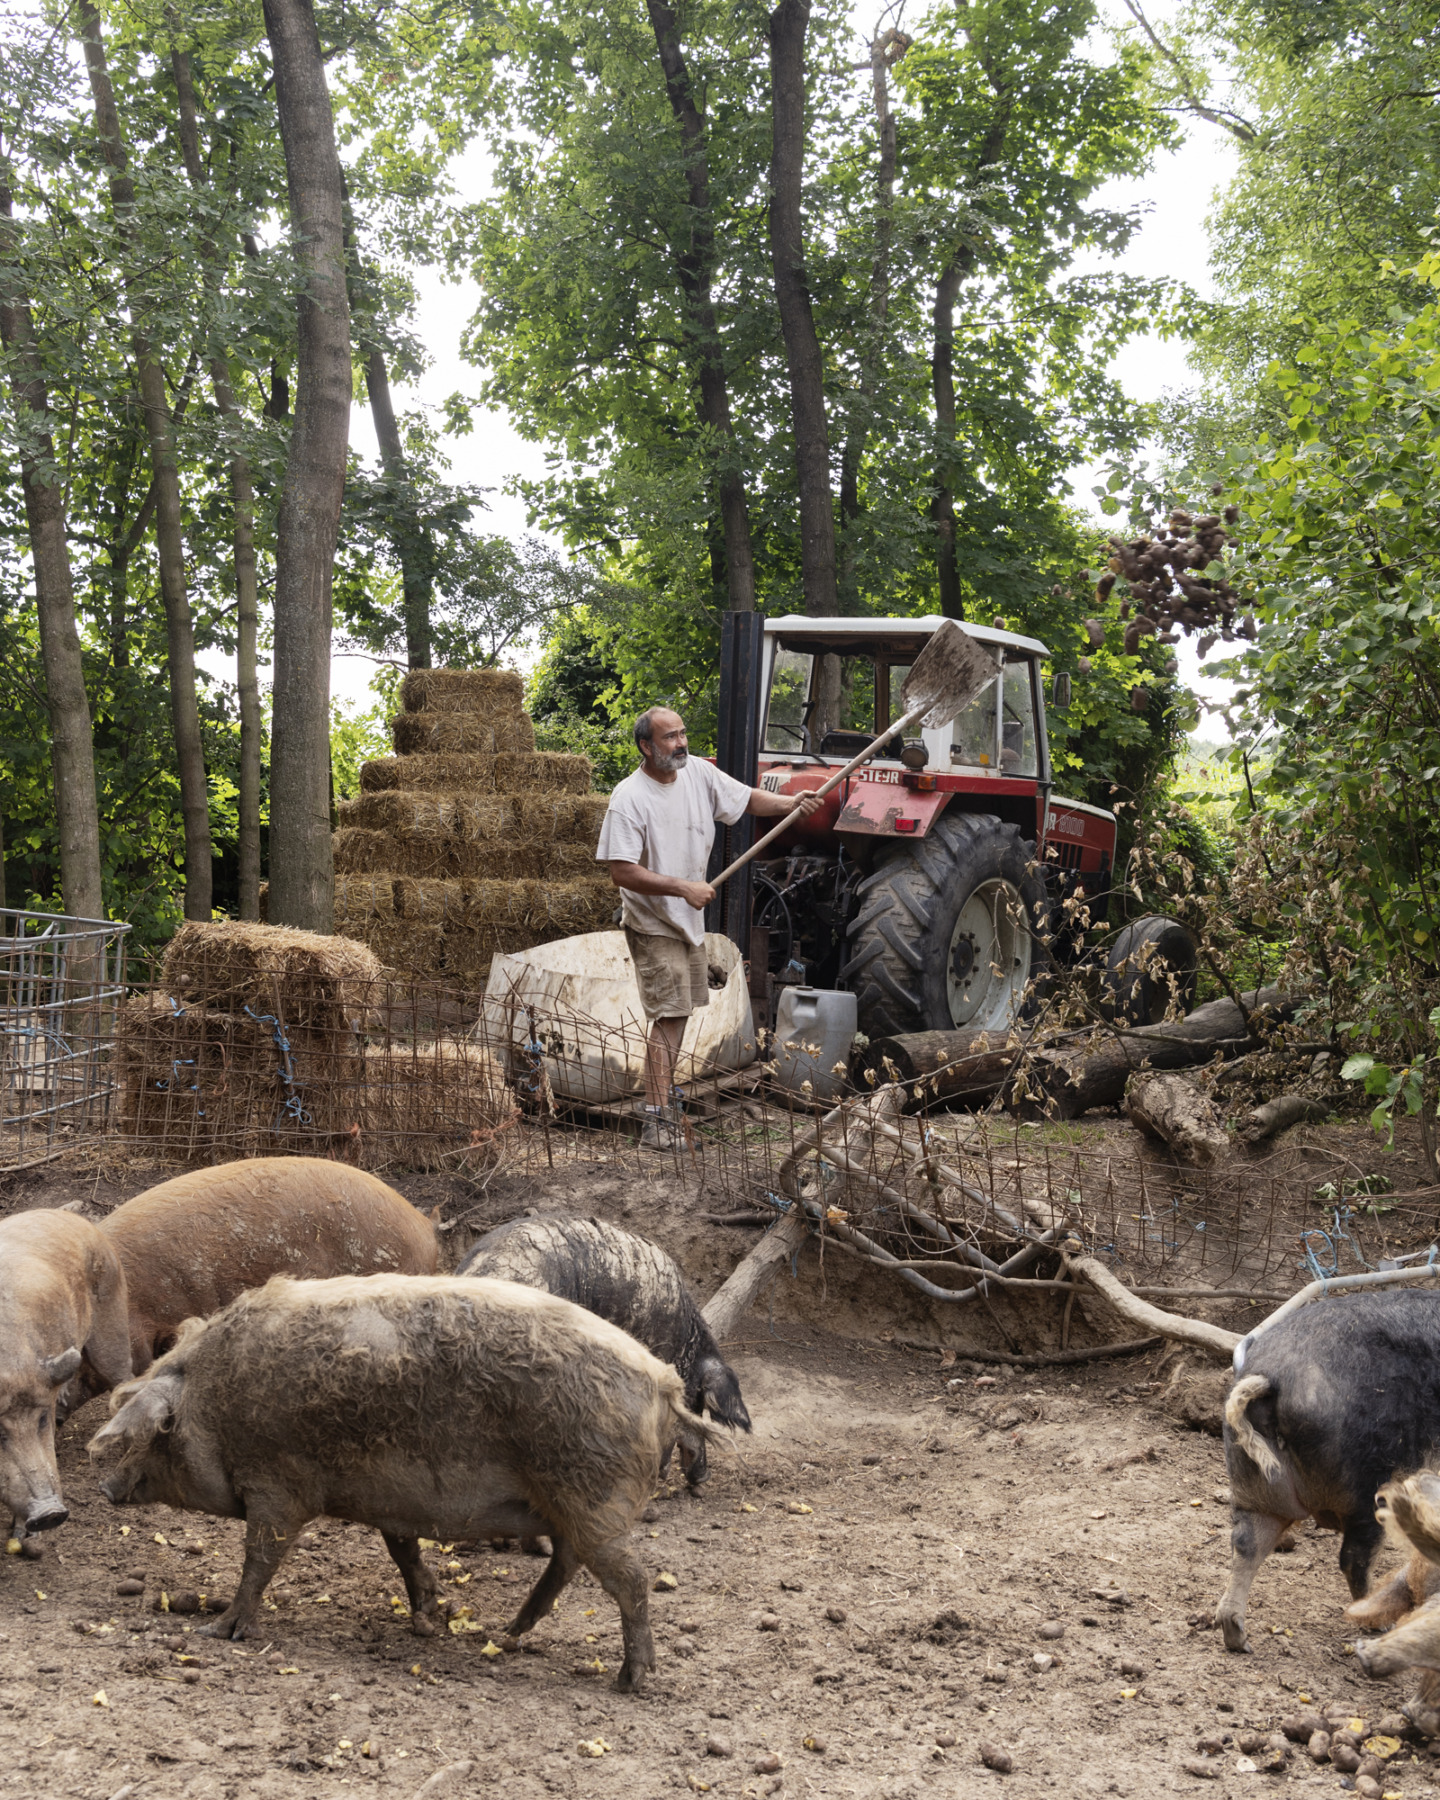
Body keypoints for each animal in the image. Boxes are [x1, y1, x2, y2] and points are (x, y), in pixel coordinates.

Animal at [89, 1273, 713, 1691]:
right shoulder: (391, 1501)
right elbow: (402, 1551)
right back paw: (508, 1633)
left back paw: (629, 1681)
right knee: (566, 1564)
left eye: (151, 1432)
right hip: (571, 1505)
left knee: (631, 1579)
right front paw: (429, 1621)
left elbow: (260, 1558)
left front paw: (219, 1632)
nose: (105, 1488)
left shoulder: (279, 1484)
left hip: (592, 1498)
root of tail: (665, 1384)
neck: (217, 1403)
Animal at [1217, 1292, 1440, 1652]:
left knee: (1246, 1542)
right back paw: (1379, 1623)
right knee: (1353, 1559)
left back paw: (1237, 1639)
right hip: (1368, 1485)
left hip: (1252, 1486)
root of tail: (1271, 1377)